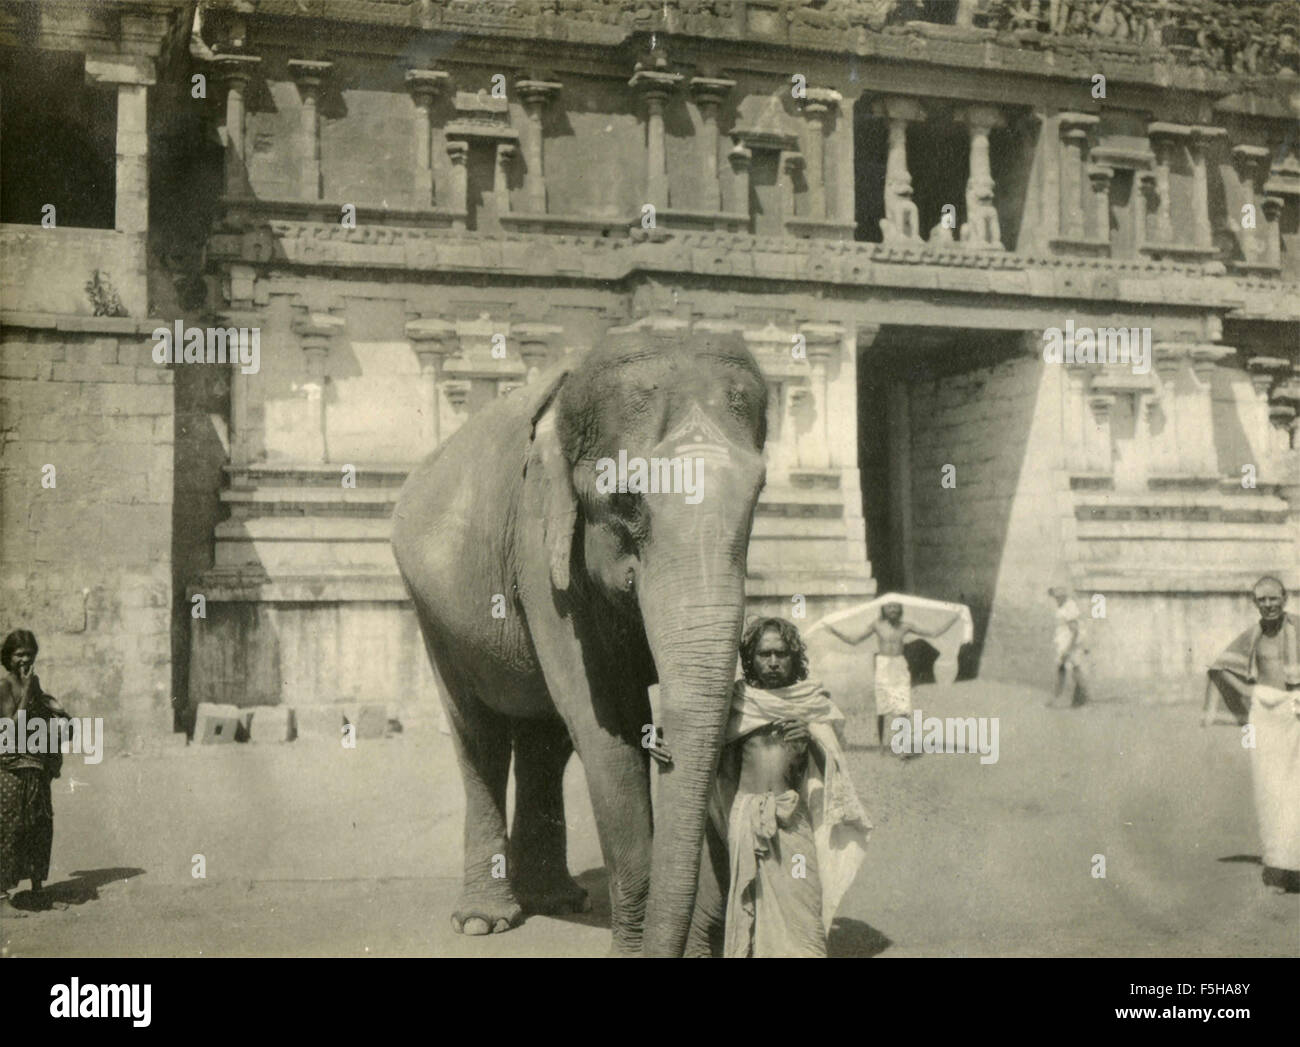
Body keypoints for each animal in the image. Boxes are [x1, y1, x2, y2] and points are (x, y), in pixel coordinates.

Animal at [391, 331, 768, 956]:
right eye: (625, 499)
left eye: (759, 495)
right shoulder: (540, 551)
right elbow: (606, 723)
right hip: (433, 615)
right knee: (480, 735)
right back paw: (484, 921)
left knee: (545, 739)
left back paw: (556, 900)